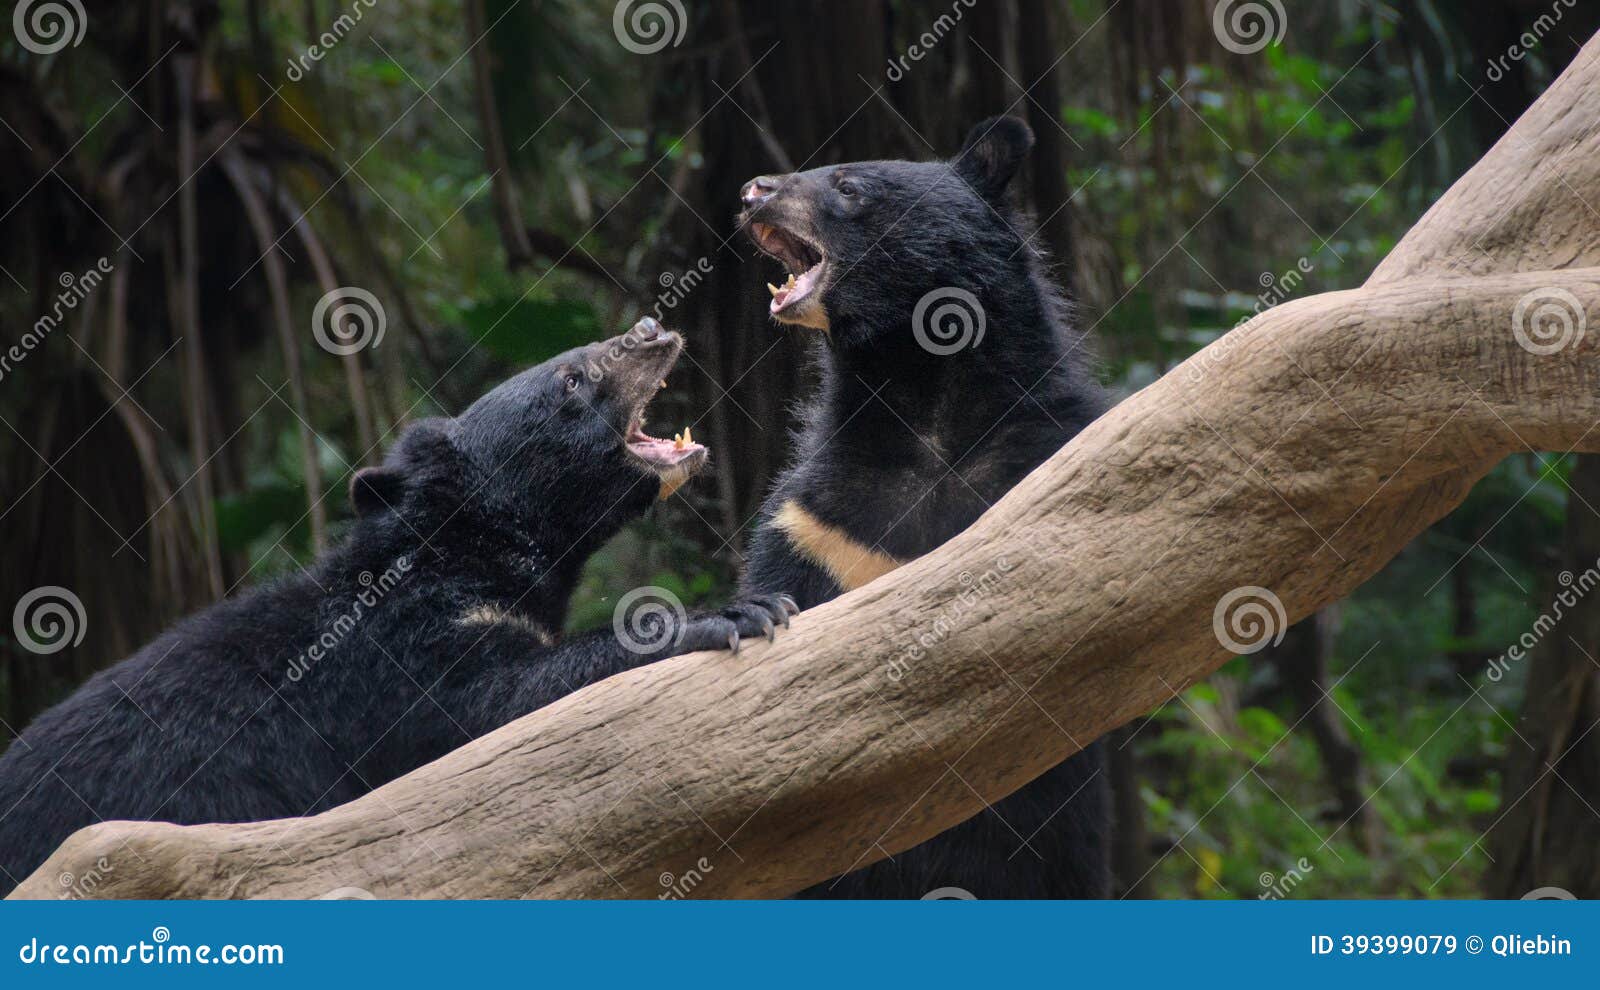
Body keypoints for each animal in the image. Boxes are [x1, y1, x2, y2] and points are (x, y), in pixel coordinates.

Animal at [0, 317, 795, 896]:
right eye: (571, 378)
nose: (654, 327)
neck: (471, 558)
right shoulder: (387, 672)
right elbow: (488, 707)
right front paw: (737, 613)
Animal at [736, 117, 1112, 898]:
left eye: (849, 185)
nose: (751, 190)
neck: (922, 394)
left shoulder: (1048, 451)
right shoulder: (817, 522)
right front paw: (757, 615)